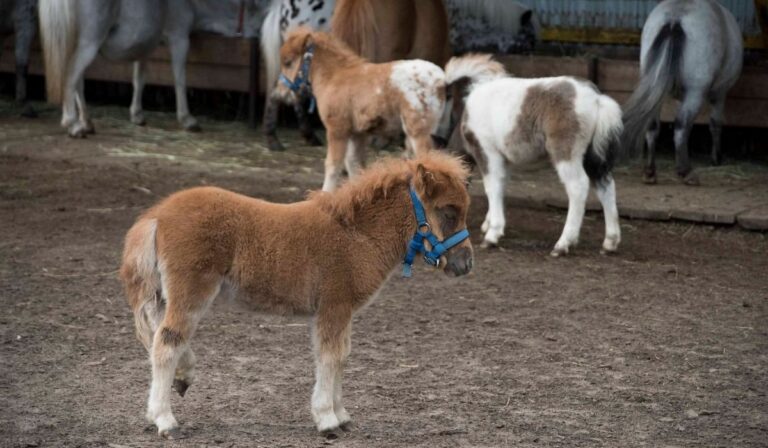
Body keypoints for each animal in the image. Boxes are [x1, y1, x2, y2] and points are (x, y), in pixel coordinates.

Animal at [38, 0, 267, 137]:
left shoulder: (144, 44)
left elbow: (139, 79)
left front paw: (137, 115)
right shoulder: (179, 38)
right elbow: (180, 79)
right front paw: (187, 119)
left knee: (78, 81)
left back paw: (86, 122)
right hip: (89, 42)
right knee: (71, 76)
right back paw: (73, 124)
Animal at [120, 151, 473, 439]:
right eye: (448, 211)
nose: (465, 263)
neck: (358, 235)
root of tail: (156, 215)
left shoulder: (341, 311)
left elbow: (342, 356)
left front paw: (342, 415)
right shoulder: (334, 306)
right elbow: (331, 357)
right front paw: (328, 420)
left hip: (165, 294)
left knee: (159, 335)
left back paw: (182, 378)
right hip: (191, 292)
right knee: (166, 343)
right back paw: (165, 420)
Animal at [277, 29, 448, 191]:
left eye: (288, 62)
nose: (281, 93)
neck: (334, 76)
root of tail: (440, 78)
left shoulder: (337, 129)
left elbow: (333, 165)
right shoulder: (357, 133)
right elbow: (354, 164)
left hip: (418, 131)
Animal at [448, 54, 624, 256]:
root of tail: (597, 100)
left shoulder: (487, 152)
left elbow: (492, 187)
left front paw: (492, 234)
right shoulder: (503, 159)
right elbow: (501, 185)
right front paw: (489, 224)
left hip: (566, 153)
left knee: (578, 186)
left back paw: (563, 244)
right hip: (592, 156)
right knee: (606, 185)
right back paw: (610, 242)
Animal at [622, 0, 743, 185]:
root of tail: (675, 18)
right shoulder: (720, 93)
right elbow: (715, 123)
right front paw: (716, 158)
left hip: (656, 91)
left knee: (653, 125)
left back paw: (650, 172)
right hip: (696, 92)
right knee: (681, 126)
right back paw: (686, 172)